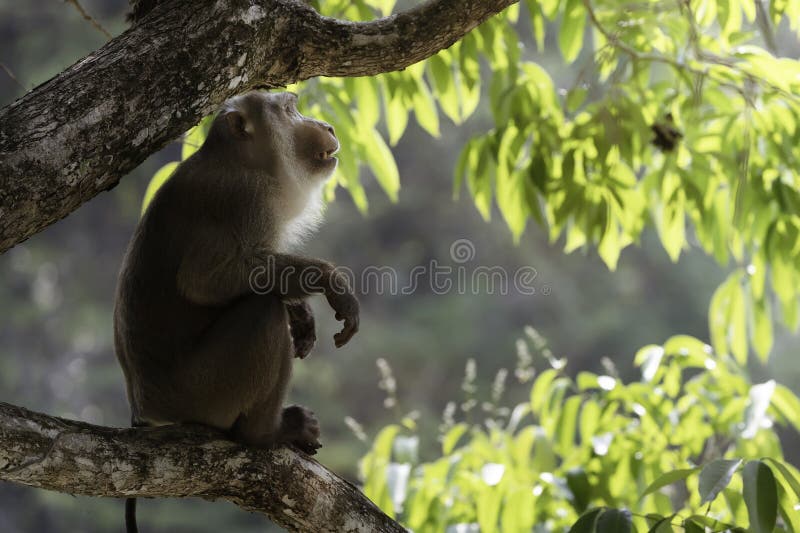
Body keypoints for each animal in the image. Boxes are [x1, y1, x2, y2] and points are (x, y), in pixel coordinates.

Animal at [113, 91, 359, 533]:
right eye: (291, 109)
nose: (327, 126)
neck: (243, 162)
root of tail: (145, 408)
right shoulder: (245, 198)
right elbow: (206, 281)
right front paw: (328, 279)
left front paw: (301, 311)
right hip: (203, 391)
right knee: (260, 312)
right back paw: (265, 433)